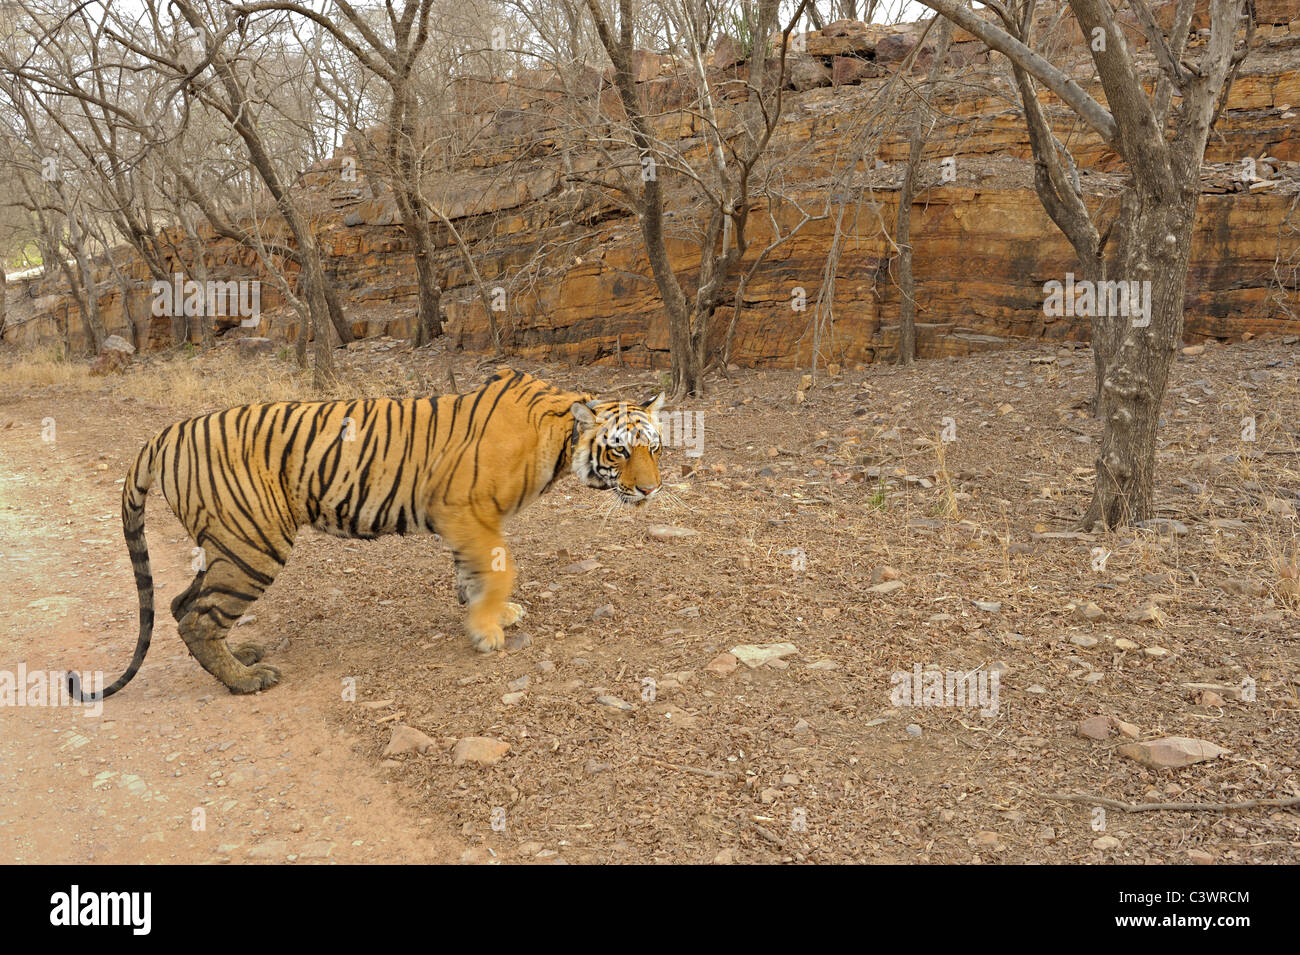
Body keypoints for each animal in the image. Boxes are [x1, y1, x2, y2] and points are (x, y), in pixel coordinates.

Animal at [68, 369, 665, 700]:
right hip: (252, 544)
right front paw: (487, 632)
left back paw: (243, 655)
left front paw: (488, 614)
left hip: (224, 544)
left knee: (178, 603)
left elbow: (474, 571)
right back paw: (245, 681)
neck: (559, 435)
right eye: (619, 451)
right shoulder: (462, 507)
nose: (653, 490)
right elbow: (498, 567)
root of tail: (166, 432)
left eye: (654, 447)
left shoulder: (466, 519)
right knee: (196, 617)